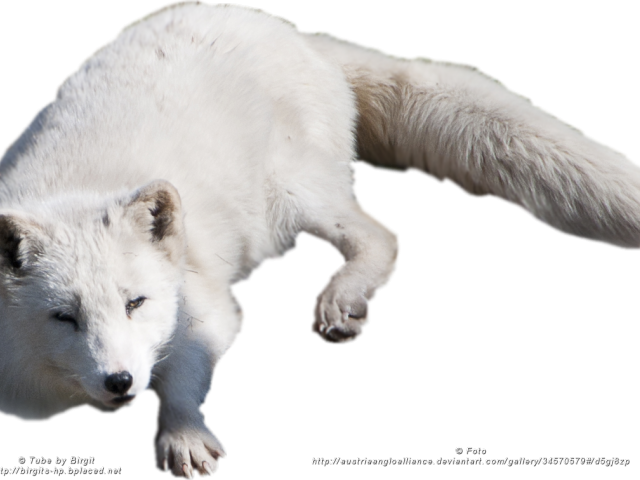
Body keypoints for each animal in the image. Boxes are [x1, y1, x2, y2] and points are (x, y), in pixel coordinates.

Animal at [0, 1, 636, 478]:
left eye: (137, 303)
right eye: (64, 318)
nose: (120, 380)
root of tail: (295, 32)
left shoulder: (209, 306)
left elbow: (186, 368)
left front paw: (182, 437)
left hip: (294, 194)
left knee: (384, 234)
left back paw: (342, 301)